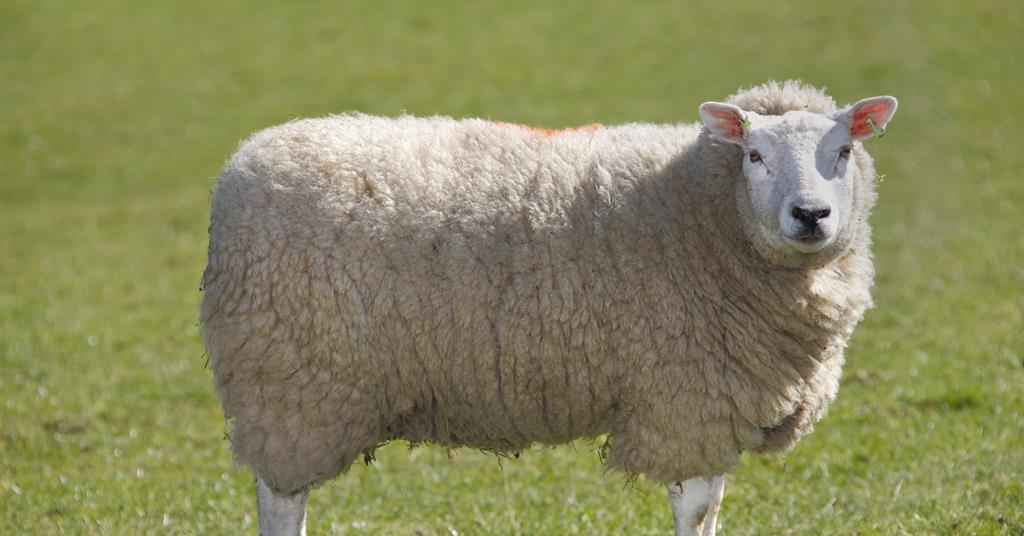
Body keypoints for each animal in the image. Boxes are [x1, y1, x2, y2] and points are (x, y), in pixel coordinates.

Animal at [200, 80, 898, 535]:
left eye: (842, 152)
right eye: (755, 156)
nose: (810, 214)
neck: (698, 211)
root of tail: (241, 164)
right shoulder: (689, 402)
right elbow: (698, 512)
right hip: (290, 383)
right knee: (280, 499)